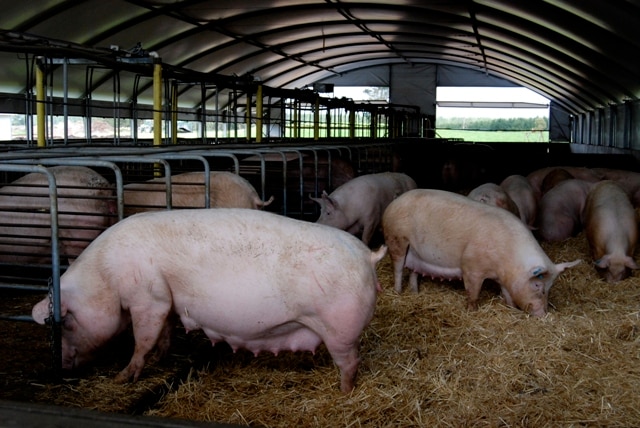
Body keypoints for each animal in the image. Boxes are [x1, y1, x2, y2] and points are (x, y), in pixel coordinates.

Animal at [31, 208, 387, 393]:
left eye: (66, 321)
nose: (60, 366)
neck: (105, 275)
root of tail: (368, 256)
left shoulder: (148, 297)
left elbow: (142, 339)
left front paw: (122, 377)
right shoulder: (167, 302)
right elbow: (163, 333)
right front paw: (161, 359)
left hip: (340, 329)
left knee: (350, 363)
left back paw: (343, 393)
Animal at [381, 189, 580, 317]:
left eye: (550, 287)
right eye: (538, 285)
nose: (543, 315)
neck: (507, 258)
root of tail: (392, 204)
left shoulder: (504, 278)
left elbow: (507, 294)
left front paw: (511, 309)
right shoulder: (471, 267)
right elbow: (473, 292)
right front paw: (472, 312)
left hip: (415, 251)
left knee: (413, 271)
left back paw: (415, 293)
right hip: (396, 239)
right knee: (398, 268)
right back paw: (398, 293)